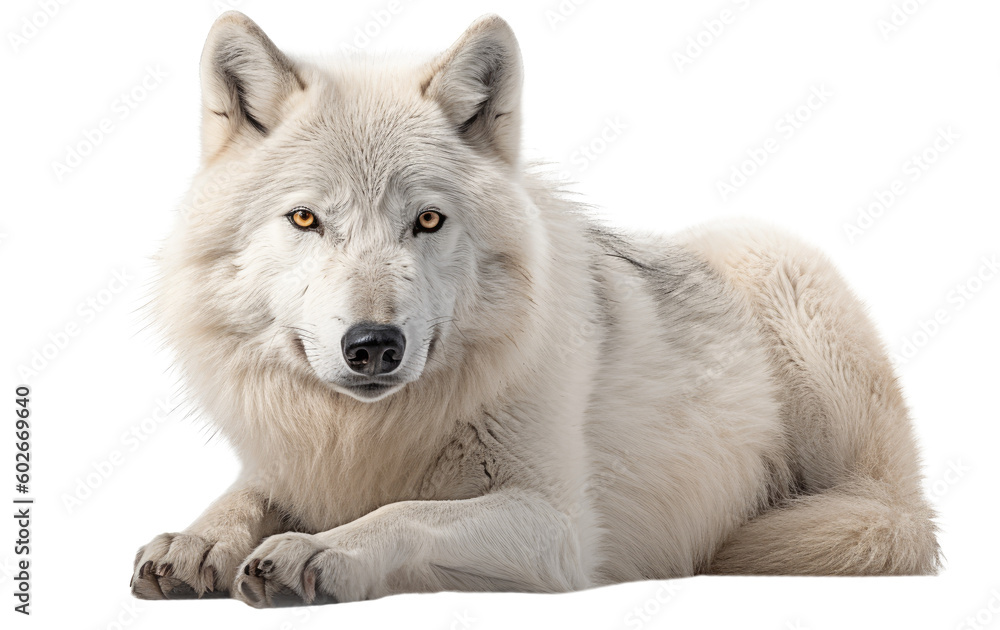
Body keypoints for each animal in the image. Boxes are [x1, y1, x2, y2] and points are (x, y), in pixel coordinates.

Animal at [131, 11, 940, 607]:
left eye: (428, 221)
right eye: (305, 219)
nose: (374, 345)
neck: (366, 434)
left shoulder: (558, 527)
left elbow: (404, 513)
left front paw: (322, 547)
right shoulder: (295, 460)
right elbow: (249, 493)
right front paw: (199, 539)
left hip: (774, 270)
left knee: (888, 519)